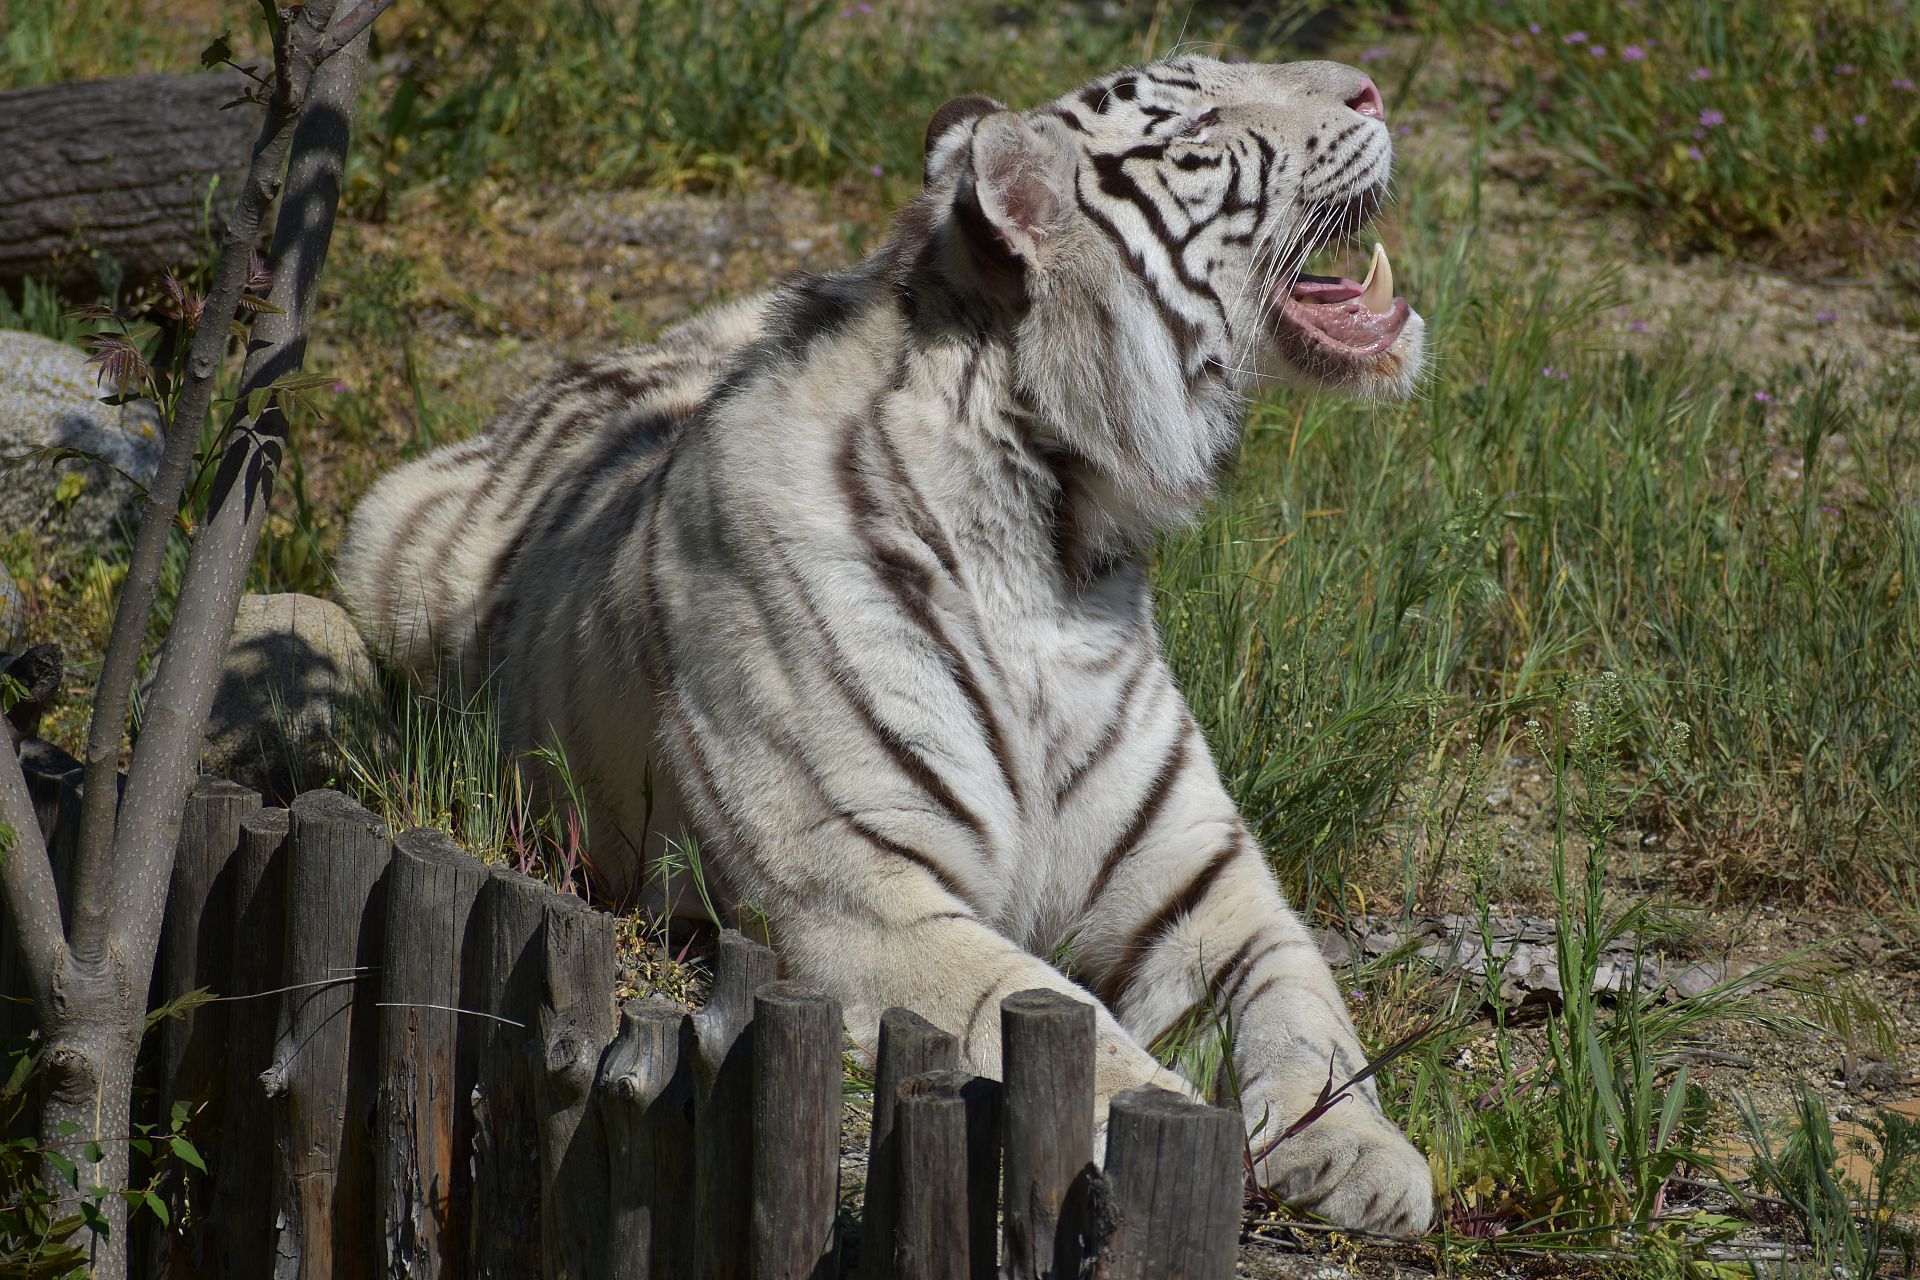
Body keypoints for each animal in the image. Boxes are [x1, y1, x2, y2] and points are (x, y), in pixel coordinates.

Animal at [340, 54, 1433, 1234]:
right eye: (1199, 118)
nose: (1371, 89)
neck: (1060, 545)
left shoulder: (1206, 882)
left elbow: (1306, 1001)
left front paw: (1362, 1152)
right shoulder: (866, 894)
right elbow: (1056, 1012)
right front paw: (1191, 1131)